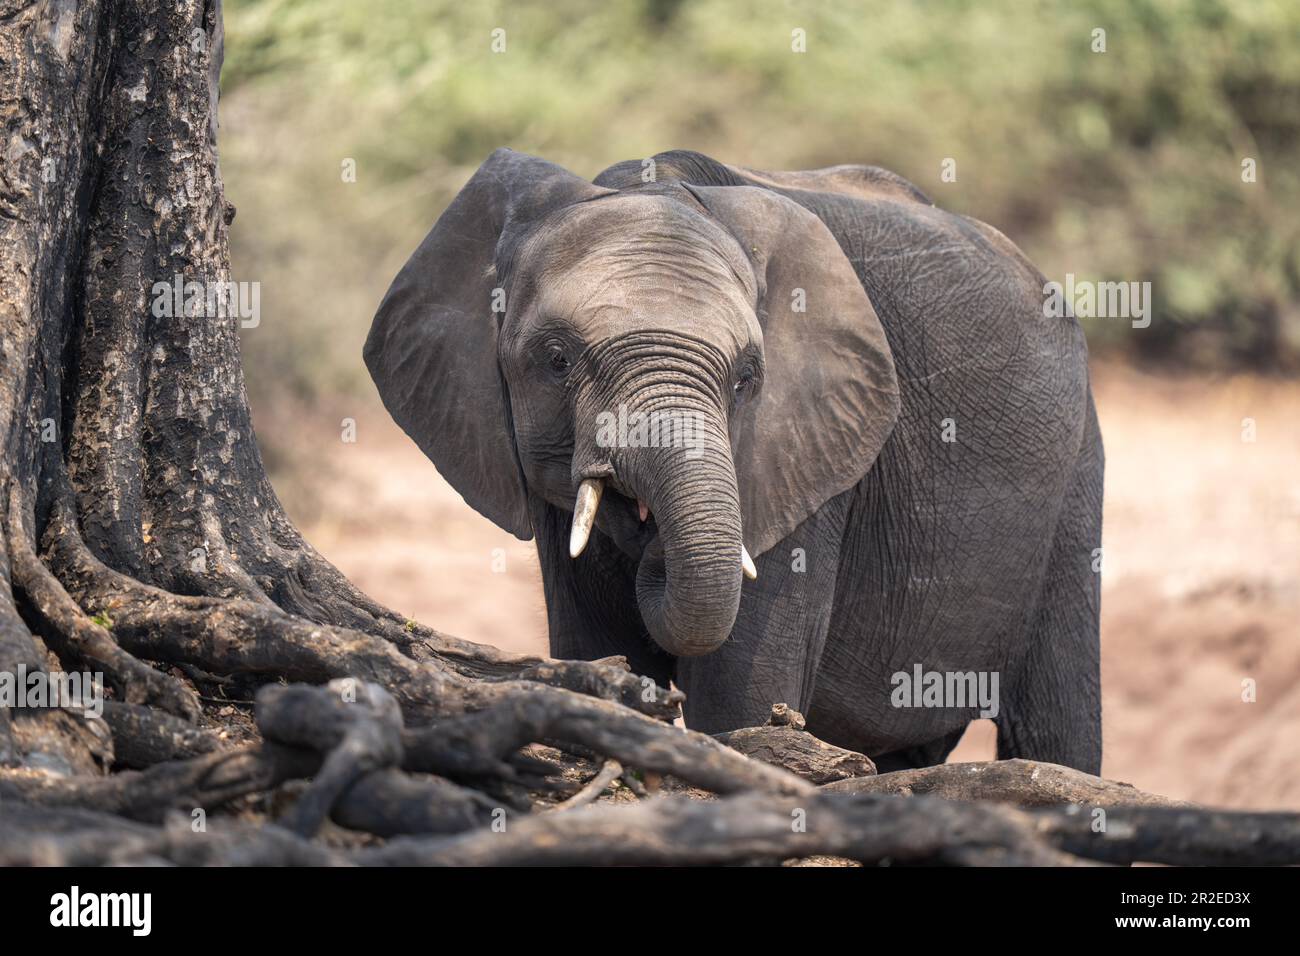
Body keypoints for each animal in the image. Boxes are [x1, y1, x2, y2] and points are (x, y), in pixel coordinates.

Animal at [365, 148, 1103, 774]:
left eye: (748, 376)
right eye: (555, 359)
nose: (653, 541)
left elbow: (738, 696)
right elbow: (593, 651)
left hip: (1076, 474)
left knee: (1056, 731)